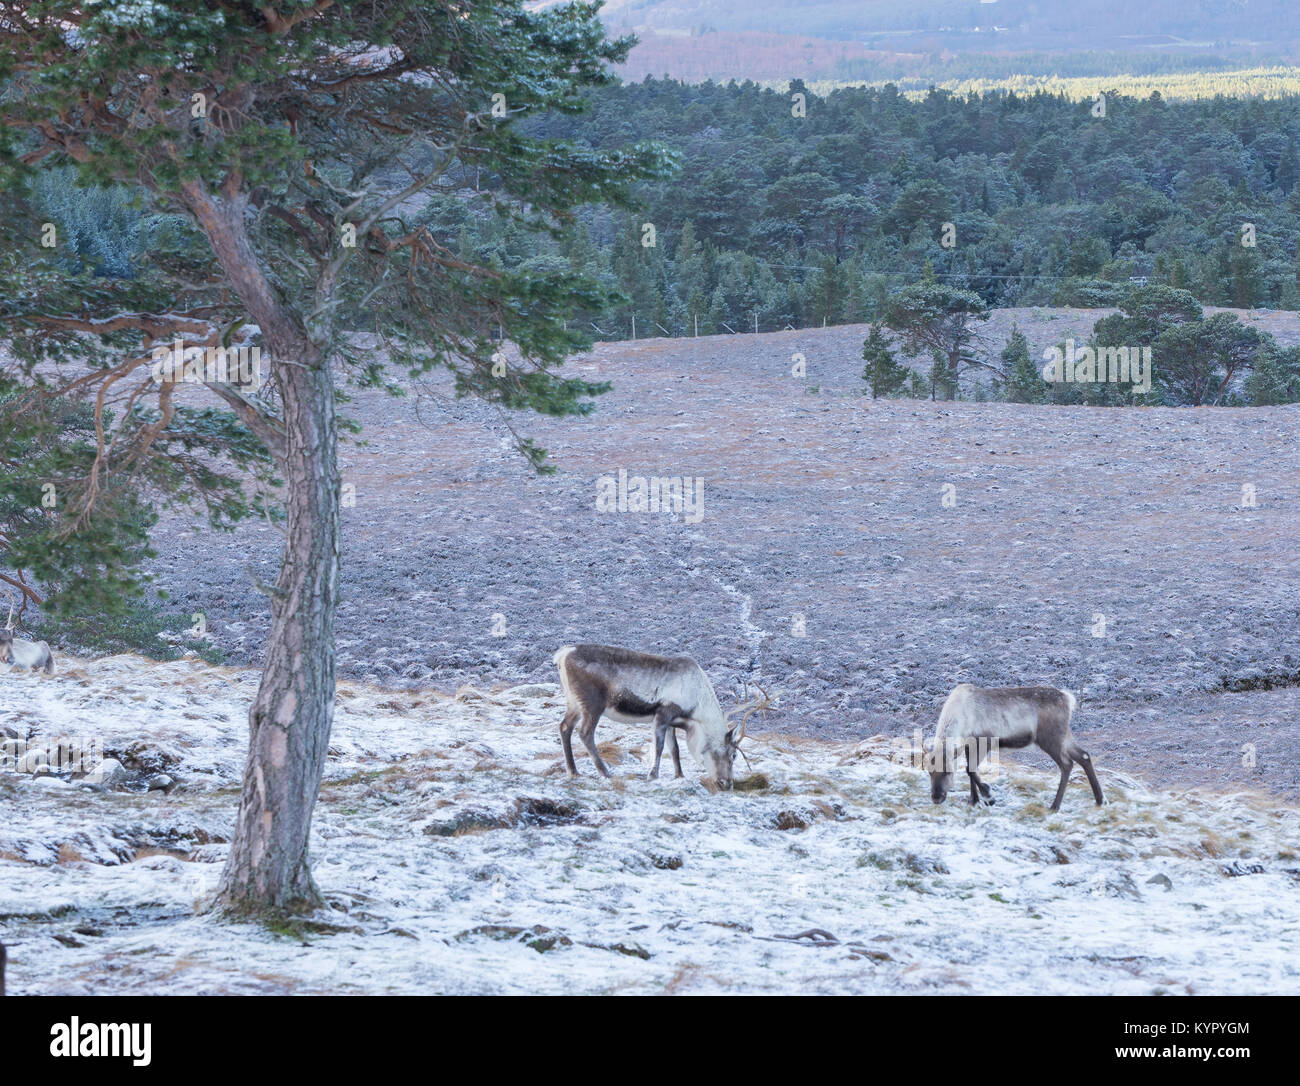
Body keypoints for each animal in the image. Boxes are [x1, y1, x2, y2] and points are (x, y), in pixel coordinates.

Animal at [553, 644, 769, 790]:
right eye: (733, 755)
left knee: (564, 727)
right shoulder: (663, 714)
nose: (727, 784)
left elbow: (675, 749)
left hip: (574, 704)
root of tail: (561, 655)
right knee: (585, 733)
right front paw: (652, 775)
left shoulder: (673, 722)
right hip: (592, 705)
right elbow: (659, 746)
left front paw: (679, 775)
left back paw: (573, 771)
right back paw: (605, 772)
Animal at [926, 683, 1103, 812]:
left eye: (948, 772)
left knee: (1067, 764)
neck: (960, 718)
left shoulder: (985, 740)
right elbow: (971, 771)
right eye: (929, 771)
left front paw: (989, 798)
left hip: (1050, 739)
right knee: (1084, 756)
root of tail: (1067, 698)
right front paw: (974, 801)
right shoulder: (970, 745)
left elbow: (970, 770)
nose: (936, 797)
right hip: (1064, 737)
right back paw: (1100, 800)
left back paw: (1054, 806)